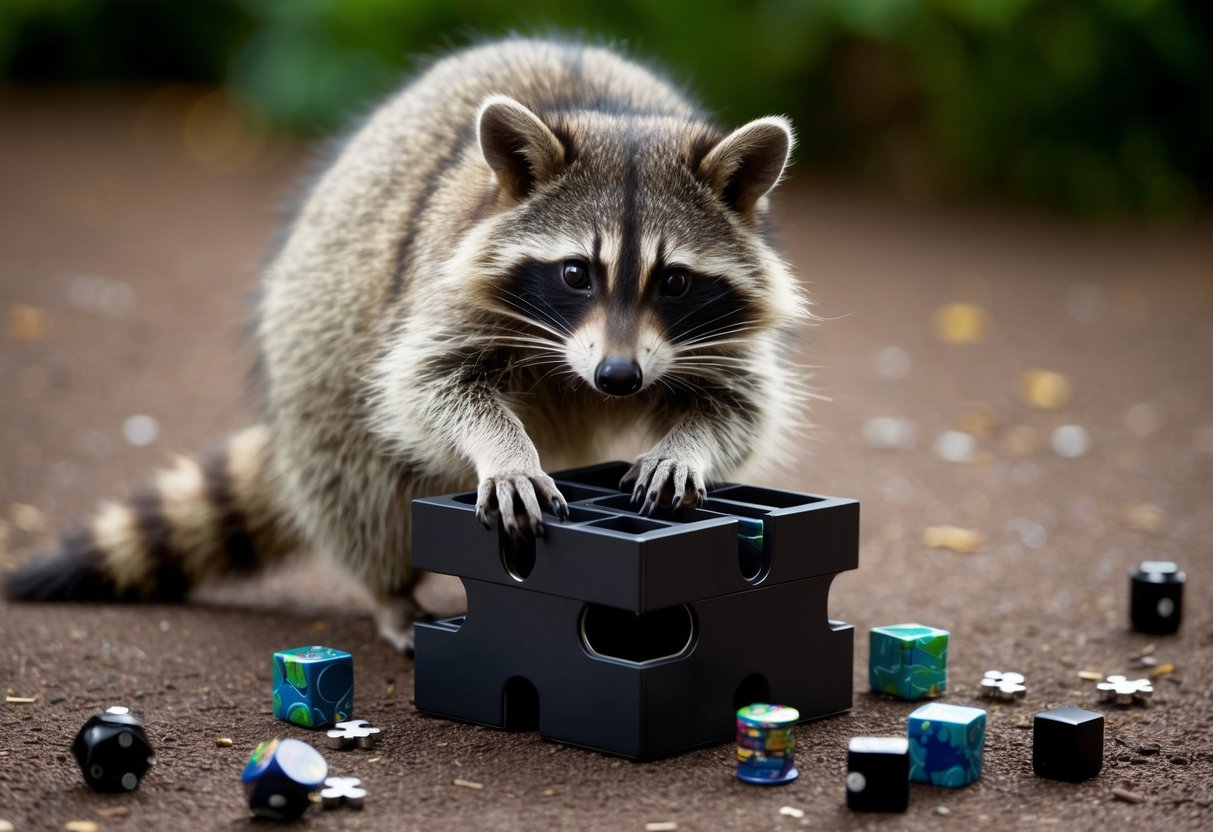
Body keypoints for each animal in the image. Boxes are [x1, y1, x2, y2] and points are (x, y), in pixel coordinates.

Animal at [4, 38, 810, 650]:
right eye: (576, 272)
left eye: (674, 281)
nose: (617, 377)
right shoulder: (444, 286)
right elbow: (428, 388)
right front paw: (503, 450)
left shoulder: (717, 334)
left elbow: (740, 407)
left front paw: (685, 449)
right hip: (319, 349)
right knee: (362, 484)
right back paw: (387, 588)